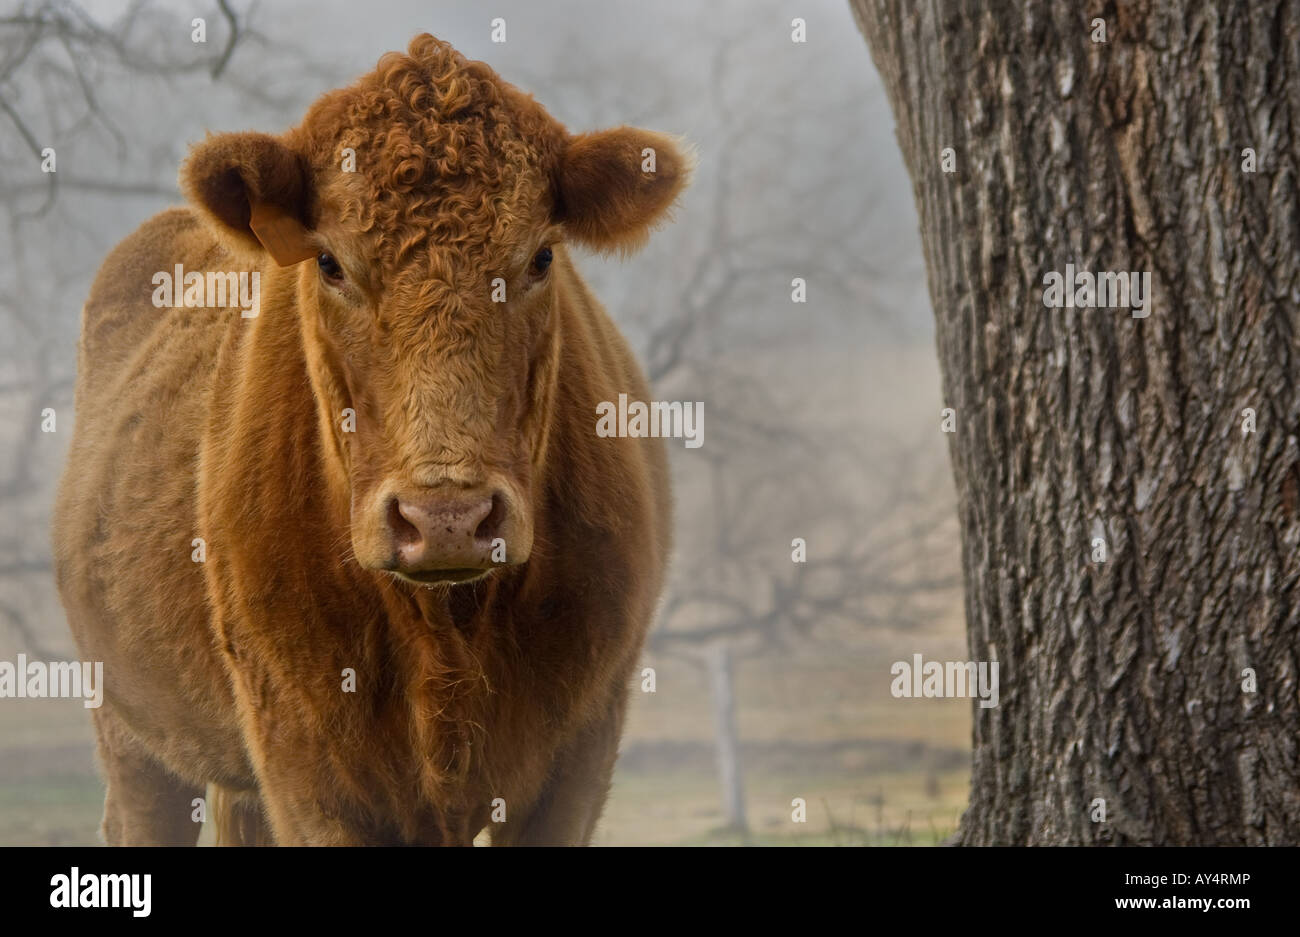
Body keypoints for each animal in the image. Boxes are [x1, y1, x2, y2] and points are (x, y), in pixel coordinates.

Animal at [51, 33, 689, 846]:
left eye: (541, 257)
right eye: (330, 261)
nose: (446, 518)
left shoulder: (576, 764)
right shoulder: (308, 773)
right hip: (134, 737)